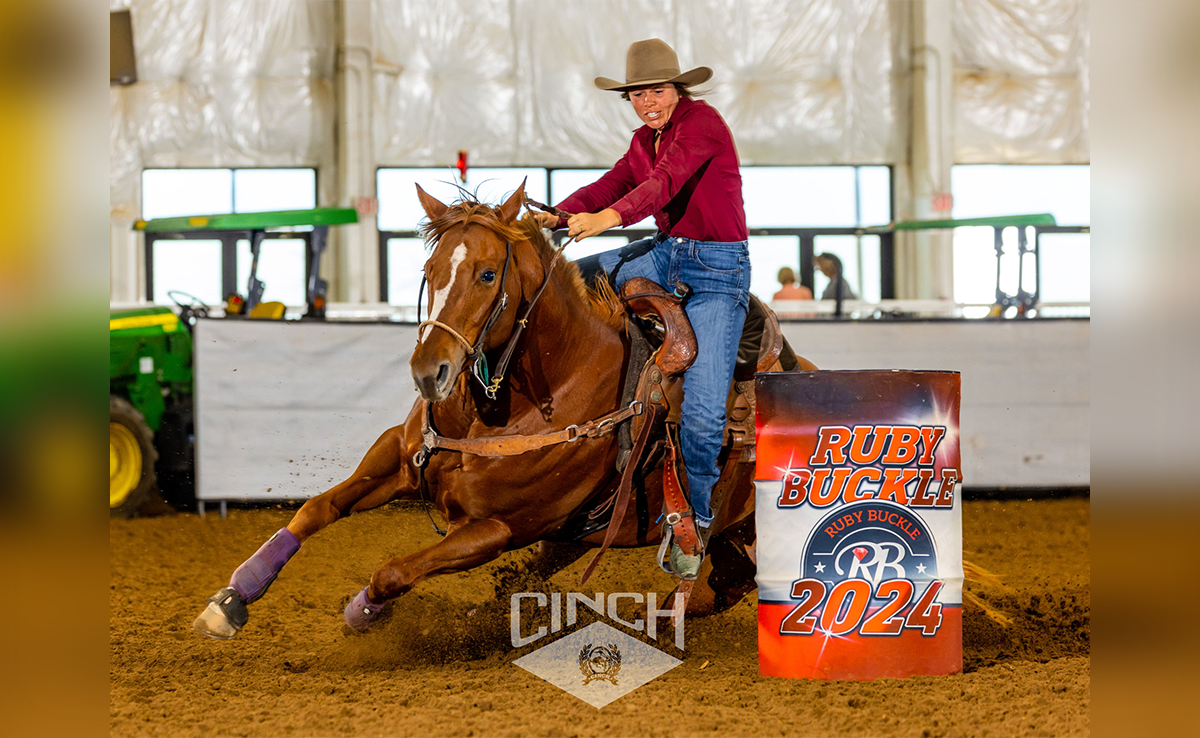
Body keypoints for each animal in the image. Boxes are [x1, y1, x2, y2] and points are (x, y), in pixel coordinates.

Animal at [193, 182, 801, 641]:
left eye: (488, 274)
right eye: (430, 269)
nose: (428, 372)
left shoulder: (496, 529)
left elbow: (394, 572)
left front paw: (360, 613)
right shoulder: (398, 457)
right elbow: (316, 509)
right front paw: (230, 600)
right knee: (723, 584)